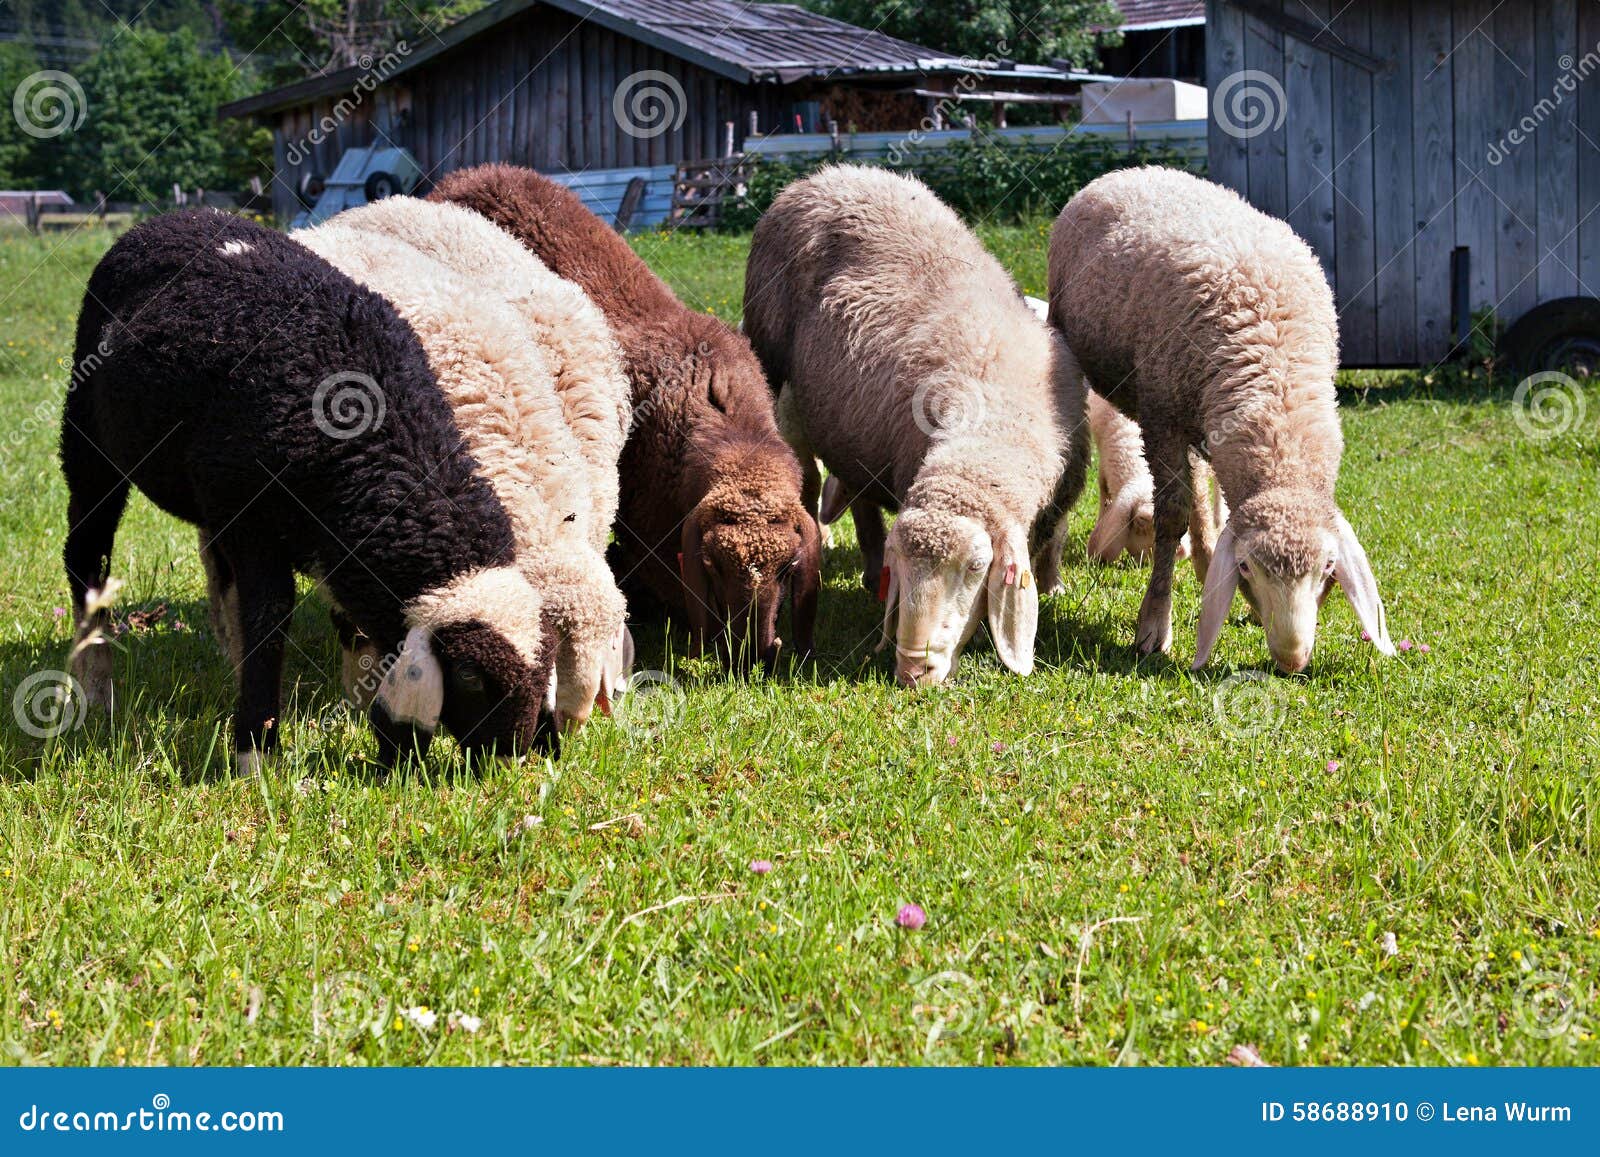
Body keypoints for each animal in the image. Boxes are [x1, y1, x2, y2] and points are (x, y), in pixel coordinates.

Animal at [61, 210, 556, 770]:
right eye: (470, 677)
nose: (509, 761)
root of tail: (172, 219)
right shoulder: (252, 518)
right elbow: (270, 618)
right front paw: (255, 751)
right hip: (88, 438)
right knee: (87, 554)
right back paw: (96, 685)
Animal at [742, 165, 1089, 687]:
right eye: (903, 568)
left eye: (976, 567)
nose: (912, 669)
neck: (988, 431)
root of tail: (825, 175)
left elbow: (1050, 541)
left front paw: (1049, 590)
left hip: (853, 427)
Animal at [1047, 166, 1395, 672]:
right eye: (1248, 565)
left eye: (1328, 568)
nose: (1291, 660)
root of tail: (1134, 170)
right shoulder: (1162, 421)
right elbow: (1171, 517)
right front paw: (1154, 625)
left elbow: (1212, 507)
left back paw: (1207, 563)